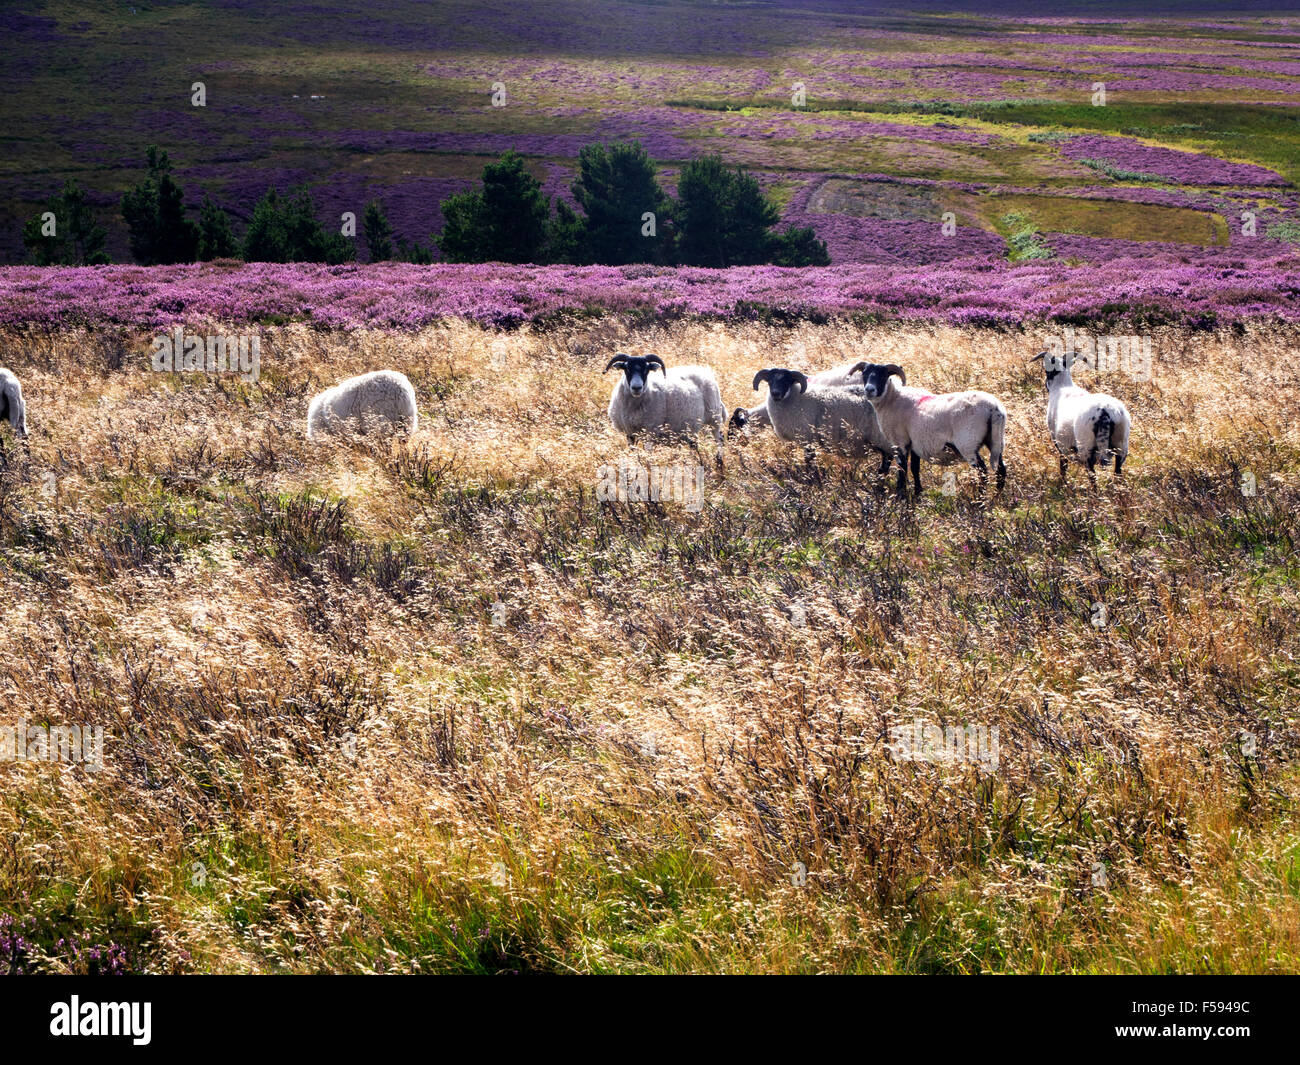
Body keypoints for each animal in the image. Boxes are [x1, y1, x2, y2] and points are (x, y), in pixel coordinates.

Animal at [749, 367, 895, 474]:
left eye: (787, 381)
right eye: (770, 380)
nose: (775, 394)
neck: (794, 398)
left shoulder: (808, 439)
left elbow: (809, 461)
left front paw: (811, 476)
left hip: (883, 438)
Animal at [850, 362, 1006, 496]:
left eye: (883, 375)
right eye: (864, 373)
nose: (869, 390)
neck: (892, 400)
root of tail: (994, 408)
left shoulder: (900, 442)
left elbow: (902, 470)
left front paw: (901, 496)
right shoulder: (915, 444)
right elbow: (915, 469)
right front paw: (918, 493)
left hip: (968, 442)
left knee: (982, 470)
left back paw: (980, 499)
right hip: (995, 440)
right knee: (1001, 469)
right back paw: (996, 496)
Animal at [1031, 348, 1131, 481]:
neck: (1061, 386)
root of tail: (1105, 413)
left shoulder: (1060, 444)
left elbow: (1063, 466)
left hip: (1086, 447)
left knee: (1092, 475)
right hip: (1121, 445)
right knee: (1118, 472)